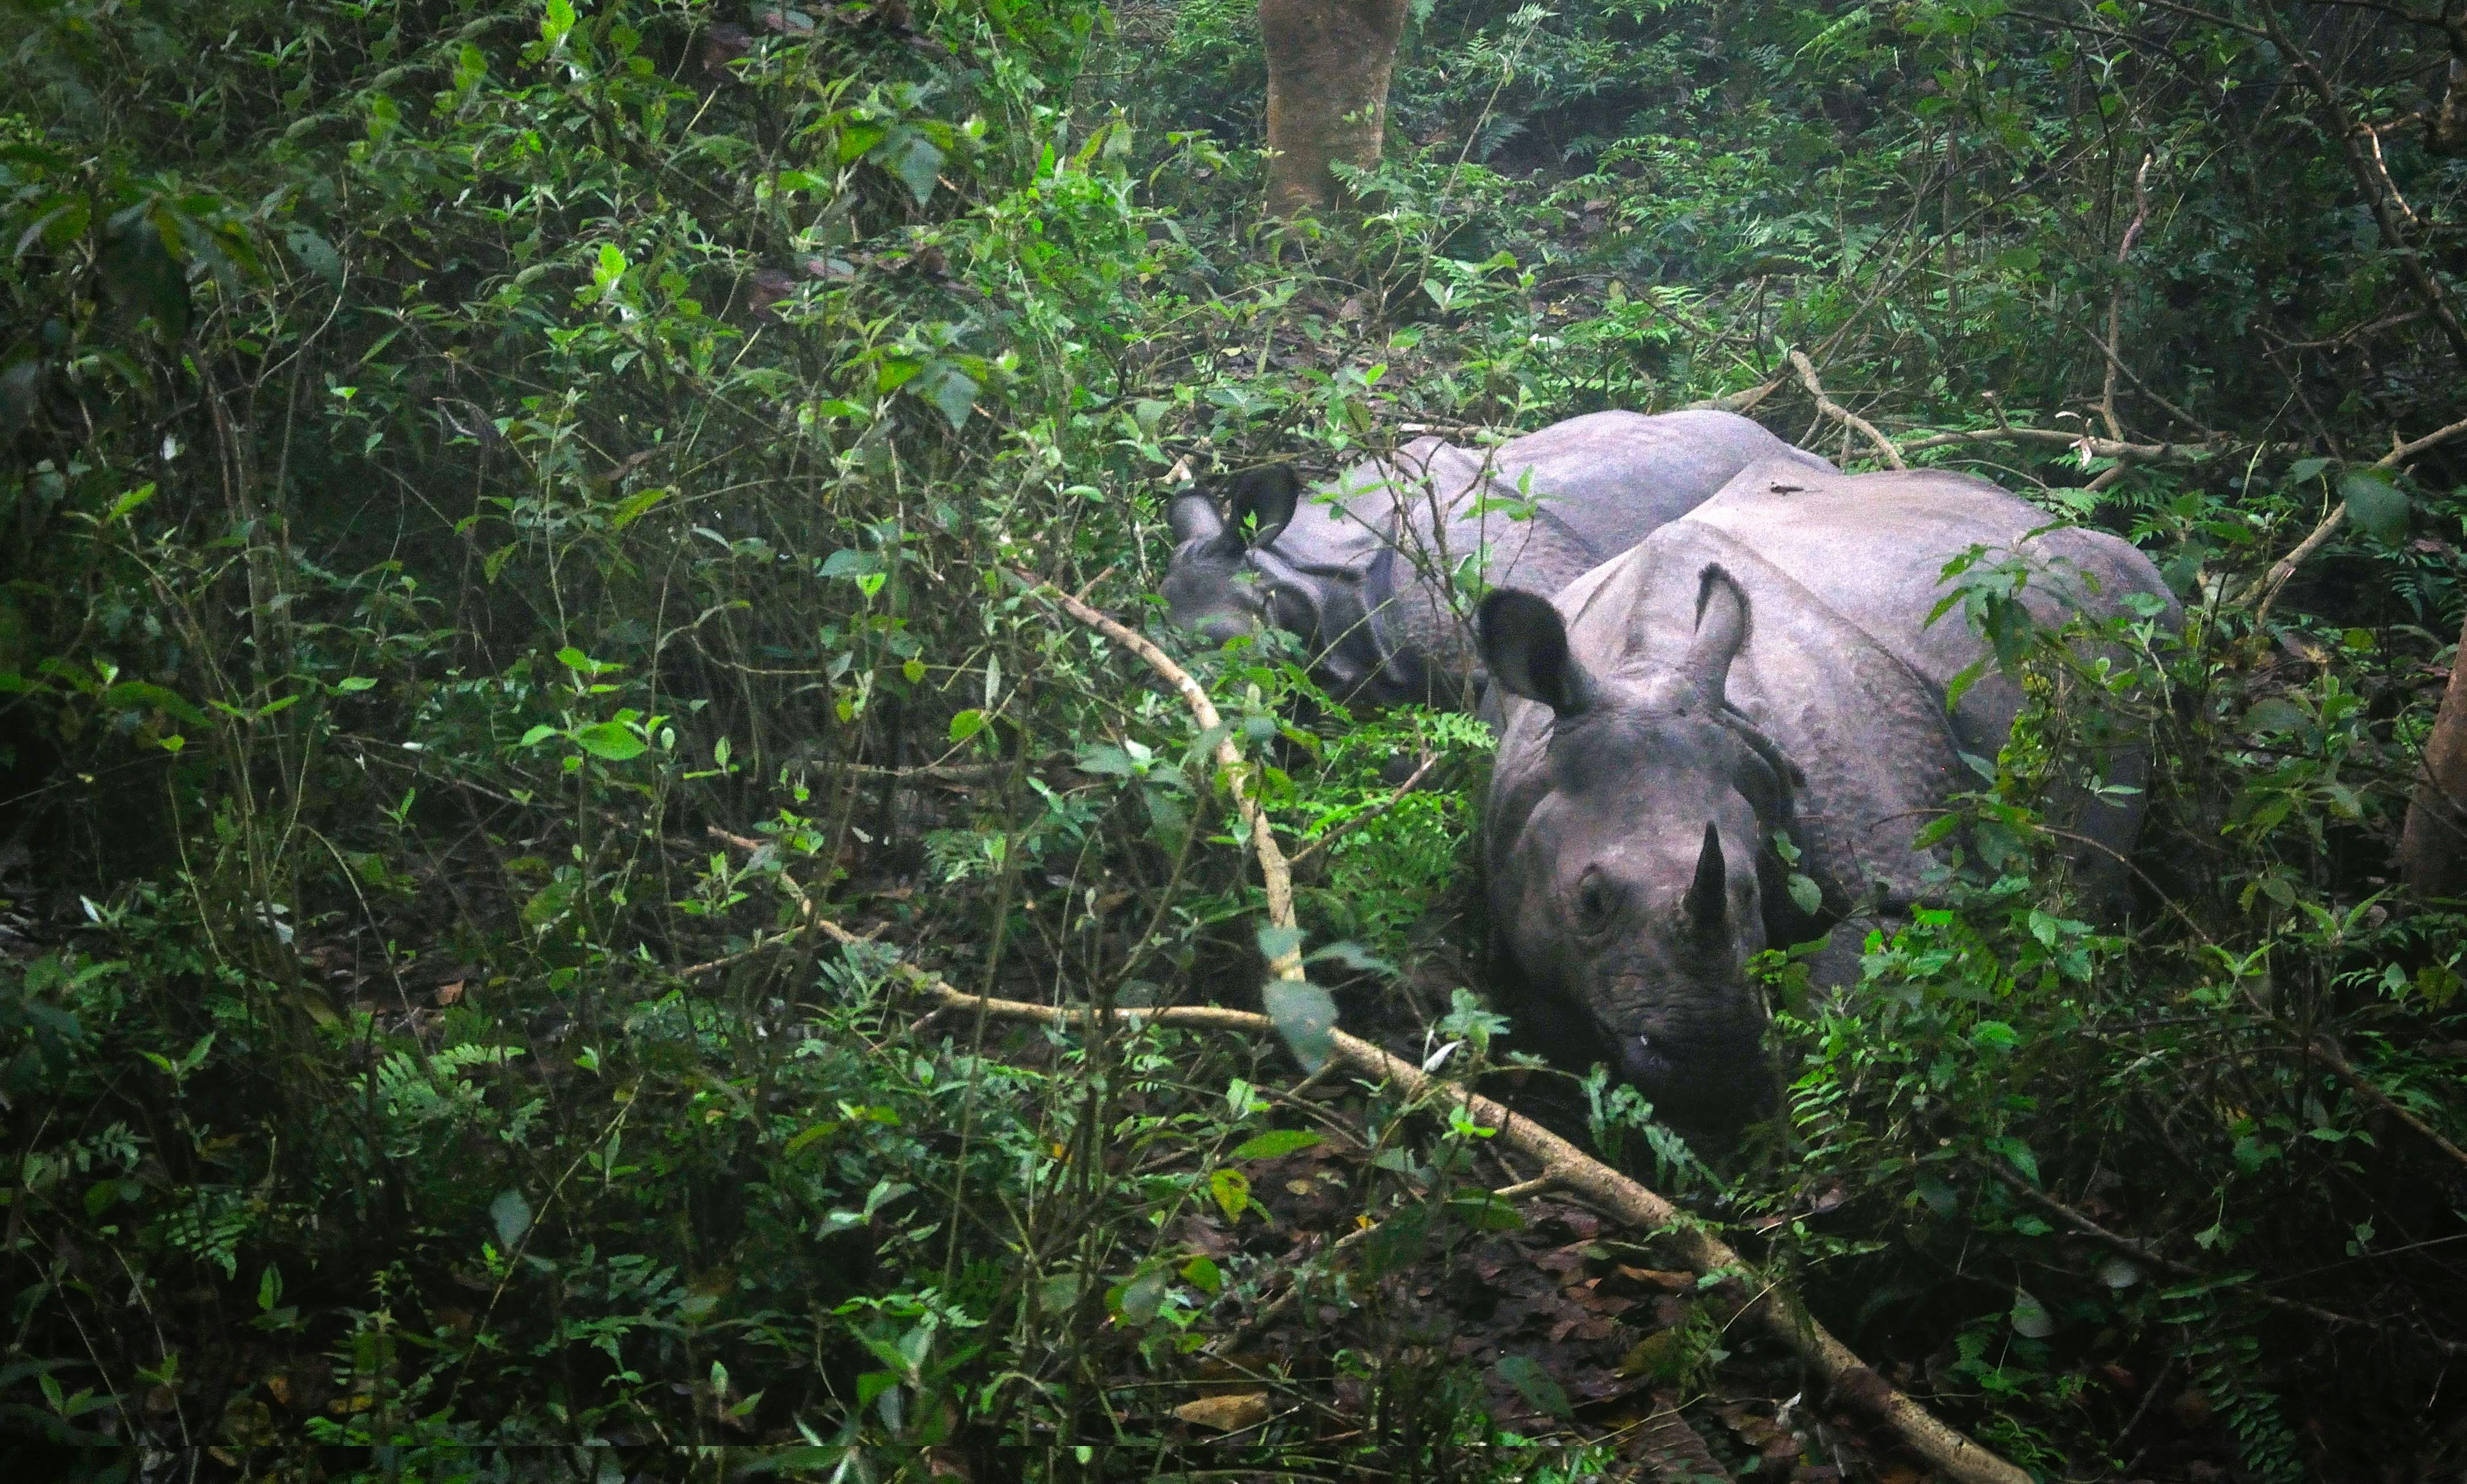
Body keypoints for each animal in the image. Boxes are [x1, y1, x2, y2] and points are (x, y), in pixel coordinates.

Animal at [1475, 461, 2182, 1129]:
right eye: (1590, 901)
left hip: (2143, 602)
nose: (1709, 1059)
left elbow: (1842, 980)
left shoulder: (1897, 860)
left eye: (1752, 890)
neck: (1641, 668)